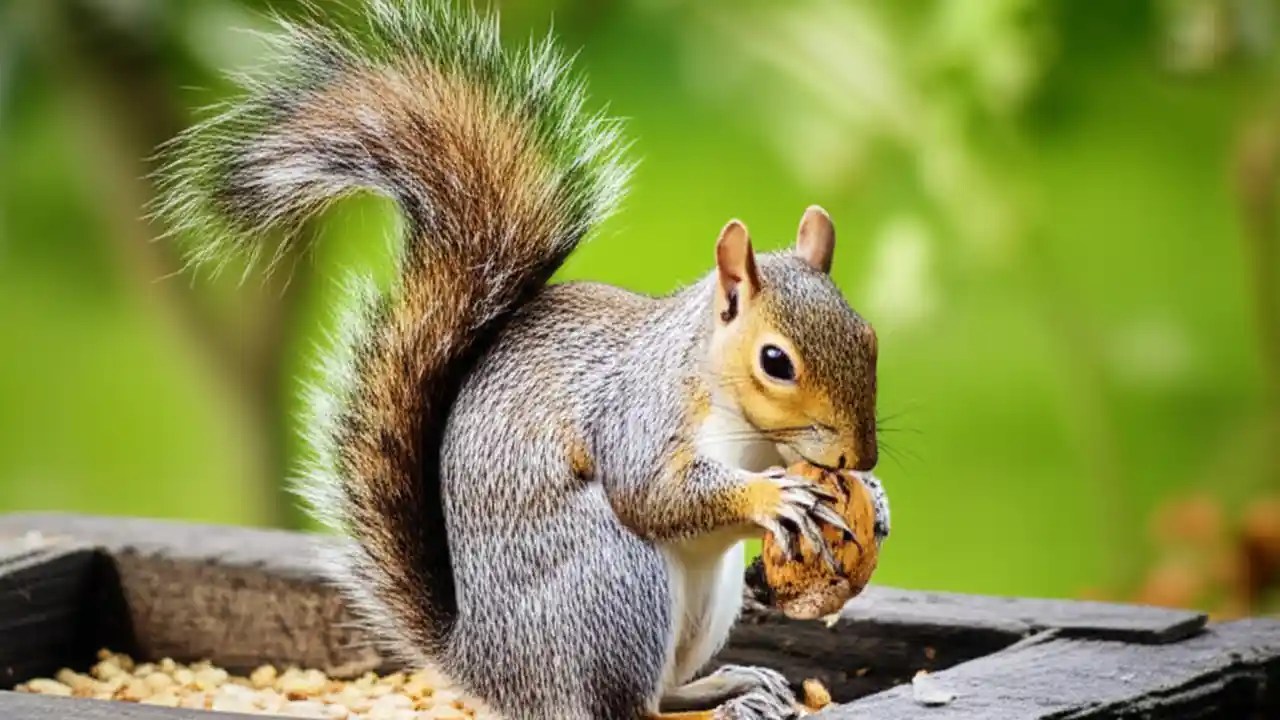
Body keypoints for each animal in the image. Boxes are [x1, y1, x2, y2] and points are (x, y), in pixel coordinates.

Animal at [156, 2, 888, 719]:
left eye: (869, 335)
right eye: (775, 361)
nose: (860, 456)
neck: (743, 420)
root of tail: (489, 666)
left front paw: (872, 496)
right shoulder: (640, 412)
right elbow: (653, 492)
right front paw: (775, 495)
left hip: (704, 598)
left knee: (659, 691)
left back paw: (727, 686)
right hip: (612, 578)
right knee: (626, 708)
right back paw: (712, 707)